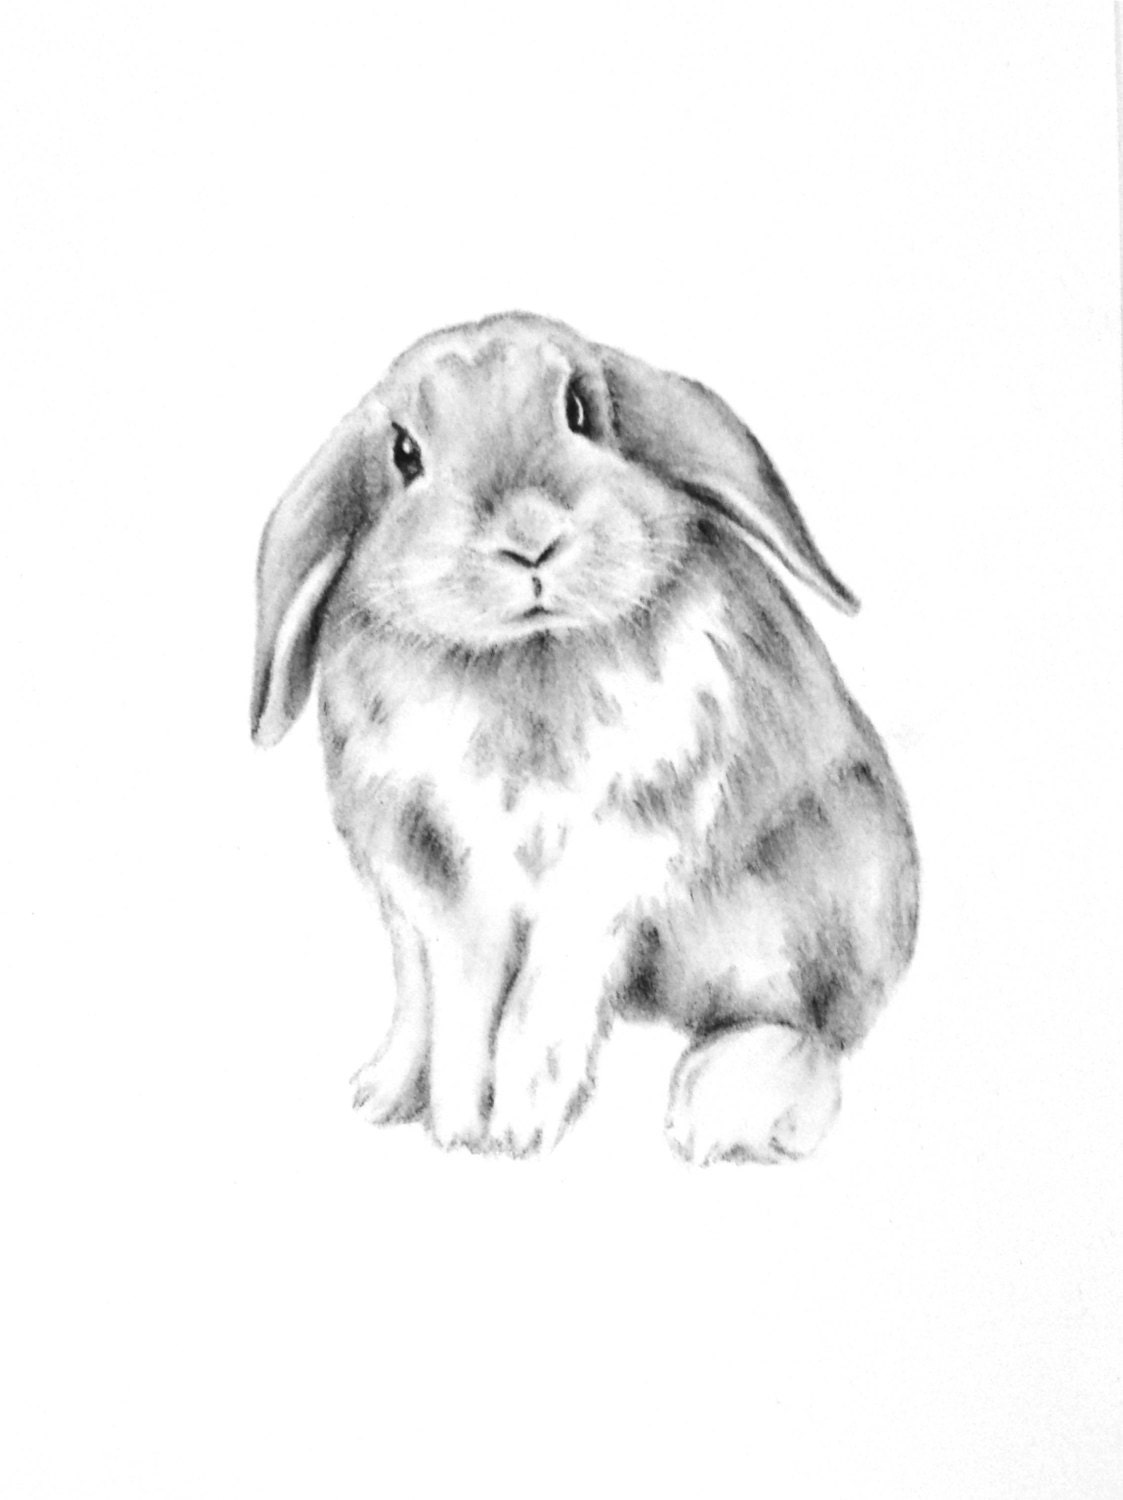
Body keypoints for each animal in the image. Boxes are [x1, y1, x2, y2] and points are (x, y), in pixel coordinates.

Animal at [251, 311, 919, 1162]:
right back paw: (384, 1089)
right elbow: (450, 998)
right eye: (404, 453)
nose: (530, 540)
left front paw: (512, 1130)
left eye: (578, 410)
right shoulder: (423, 873)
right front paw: (446, 1119)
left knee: (806, 1026)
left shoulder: (605, 863)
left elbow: (532, 1007)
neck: (522, 656)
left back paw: (720, 1110)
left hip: (801, 911)